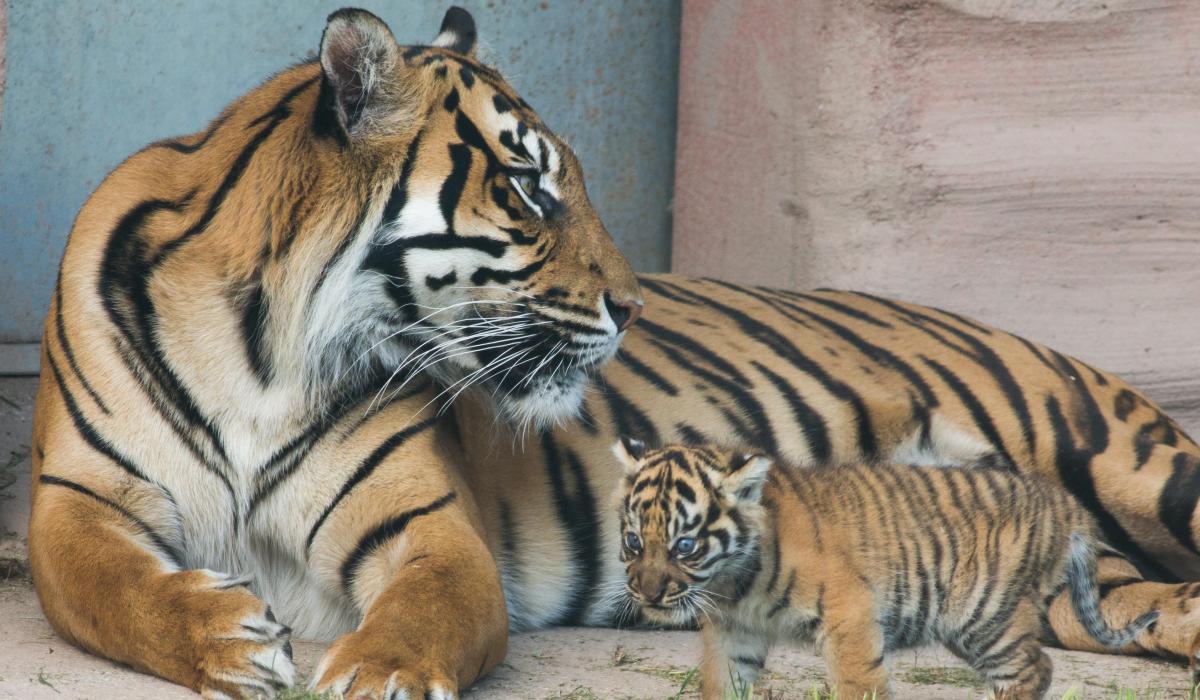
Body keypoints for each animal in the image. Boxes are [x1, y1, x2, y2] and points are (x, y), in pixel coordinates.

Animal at [612, 440, 1162, 699]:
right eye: (634, 541)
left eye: (685, 546)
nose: (648, 594)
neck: (732, 582)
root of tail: (1067, 503)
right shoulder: (735, 633)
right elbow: (723, 684)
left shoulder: (850, 617)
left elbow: (859, 684)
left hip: (988, 618)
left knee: (1034, 669)